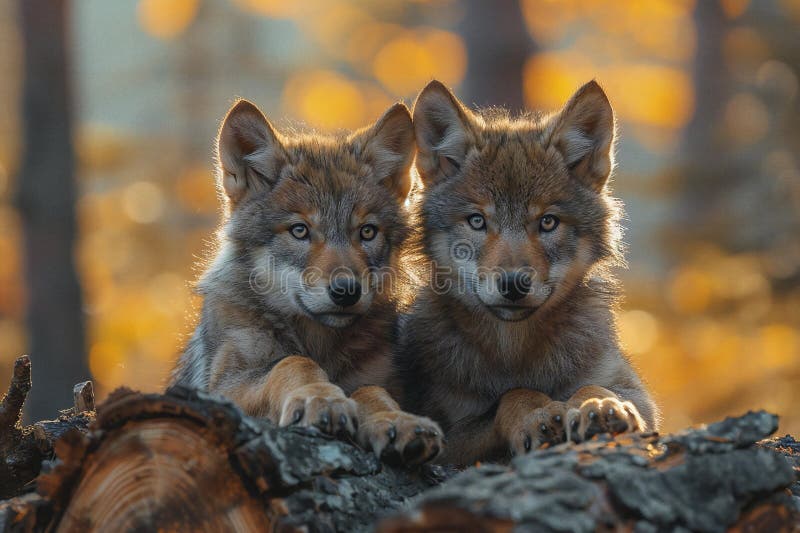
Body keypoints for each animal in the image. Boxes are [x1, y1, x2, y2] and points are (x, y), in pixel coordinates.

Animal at [171, 99, 443, 465]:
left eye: (367, 232)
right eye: (300, 230)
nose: (346, 291)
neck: (318, 342)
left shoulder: (378, 380)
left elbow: (371, 390)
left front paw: (397, 419)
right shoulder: (222, 392)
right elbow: (293, 363)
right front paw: (322, 399)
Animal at [394, 80, 659, 465]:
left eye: (547, 222)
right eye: (477, 221)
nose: (513, 284)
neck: (514, 351)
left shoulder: (641, 399)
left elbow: (591, 386)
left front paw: (600, 406)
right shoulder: (448, 441)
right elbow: (515, 394)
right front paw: (538, 414)